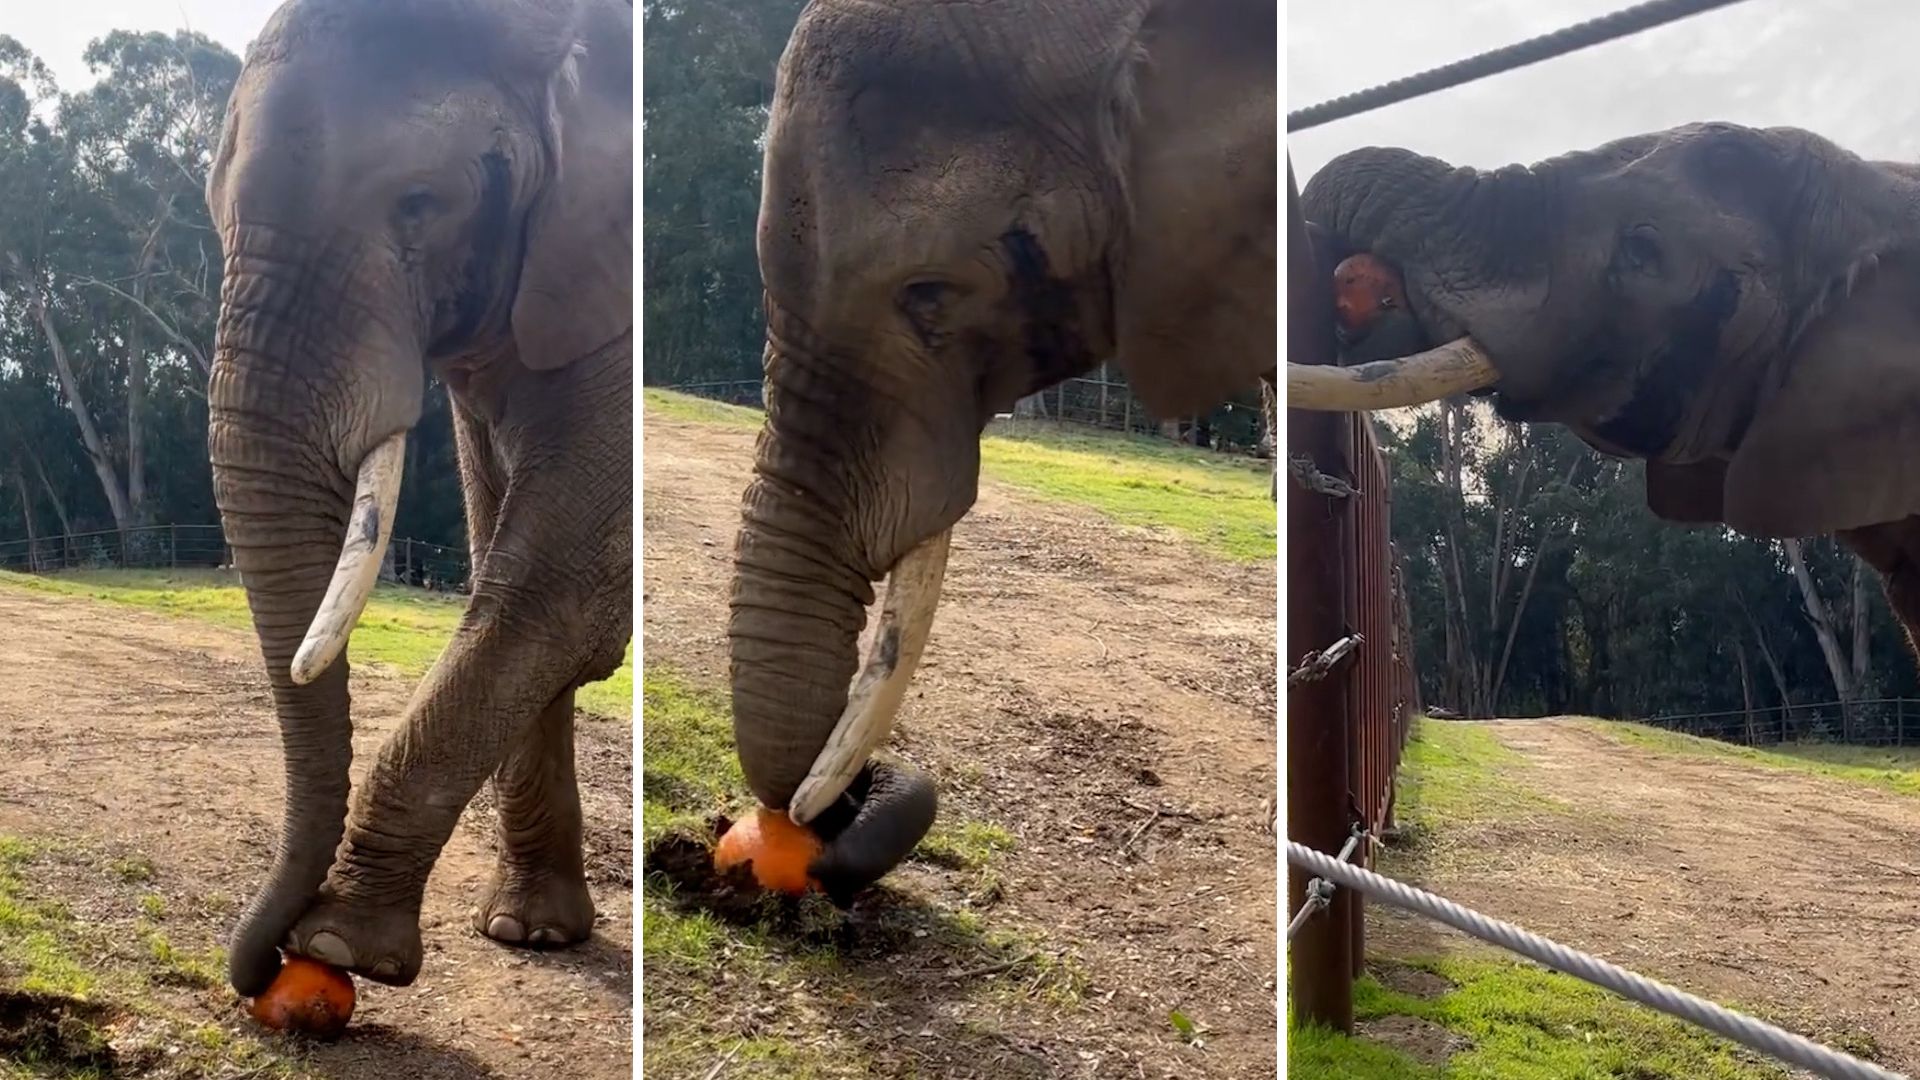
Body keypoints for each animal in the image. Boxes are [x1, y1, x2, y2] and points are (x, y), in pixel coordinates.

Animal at [204, 0, 631, 995]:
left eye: (420, 203)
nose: (261, 968)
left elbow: (560, 593)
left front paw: (337, 946)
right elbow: (505, 565)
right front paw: (528, 932)